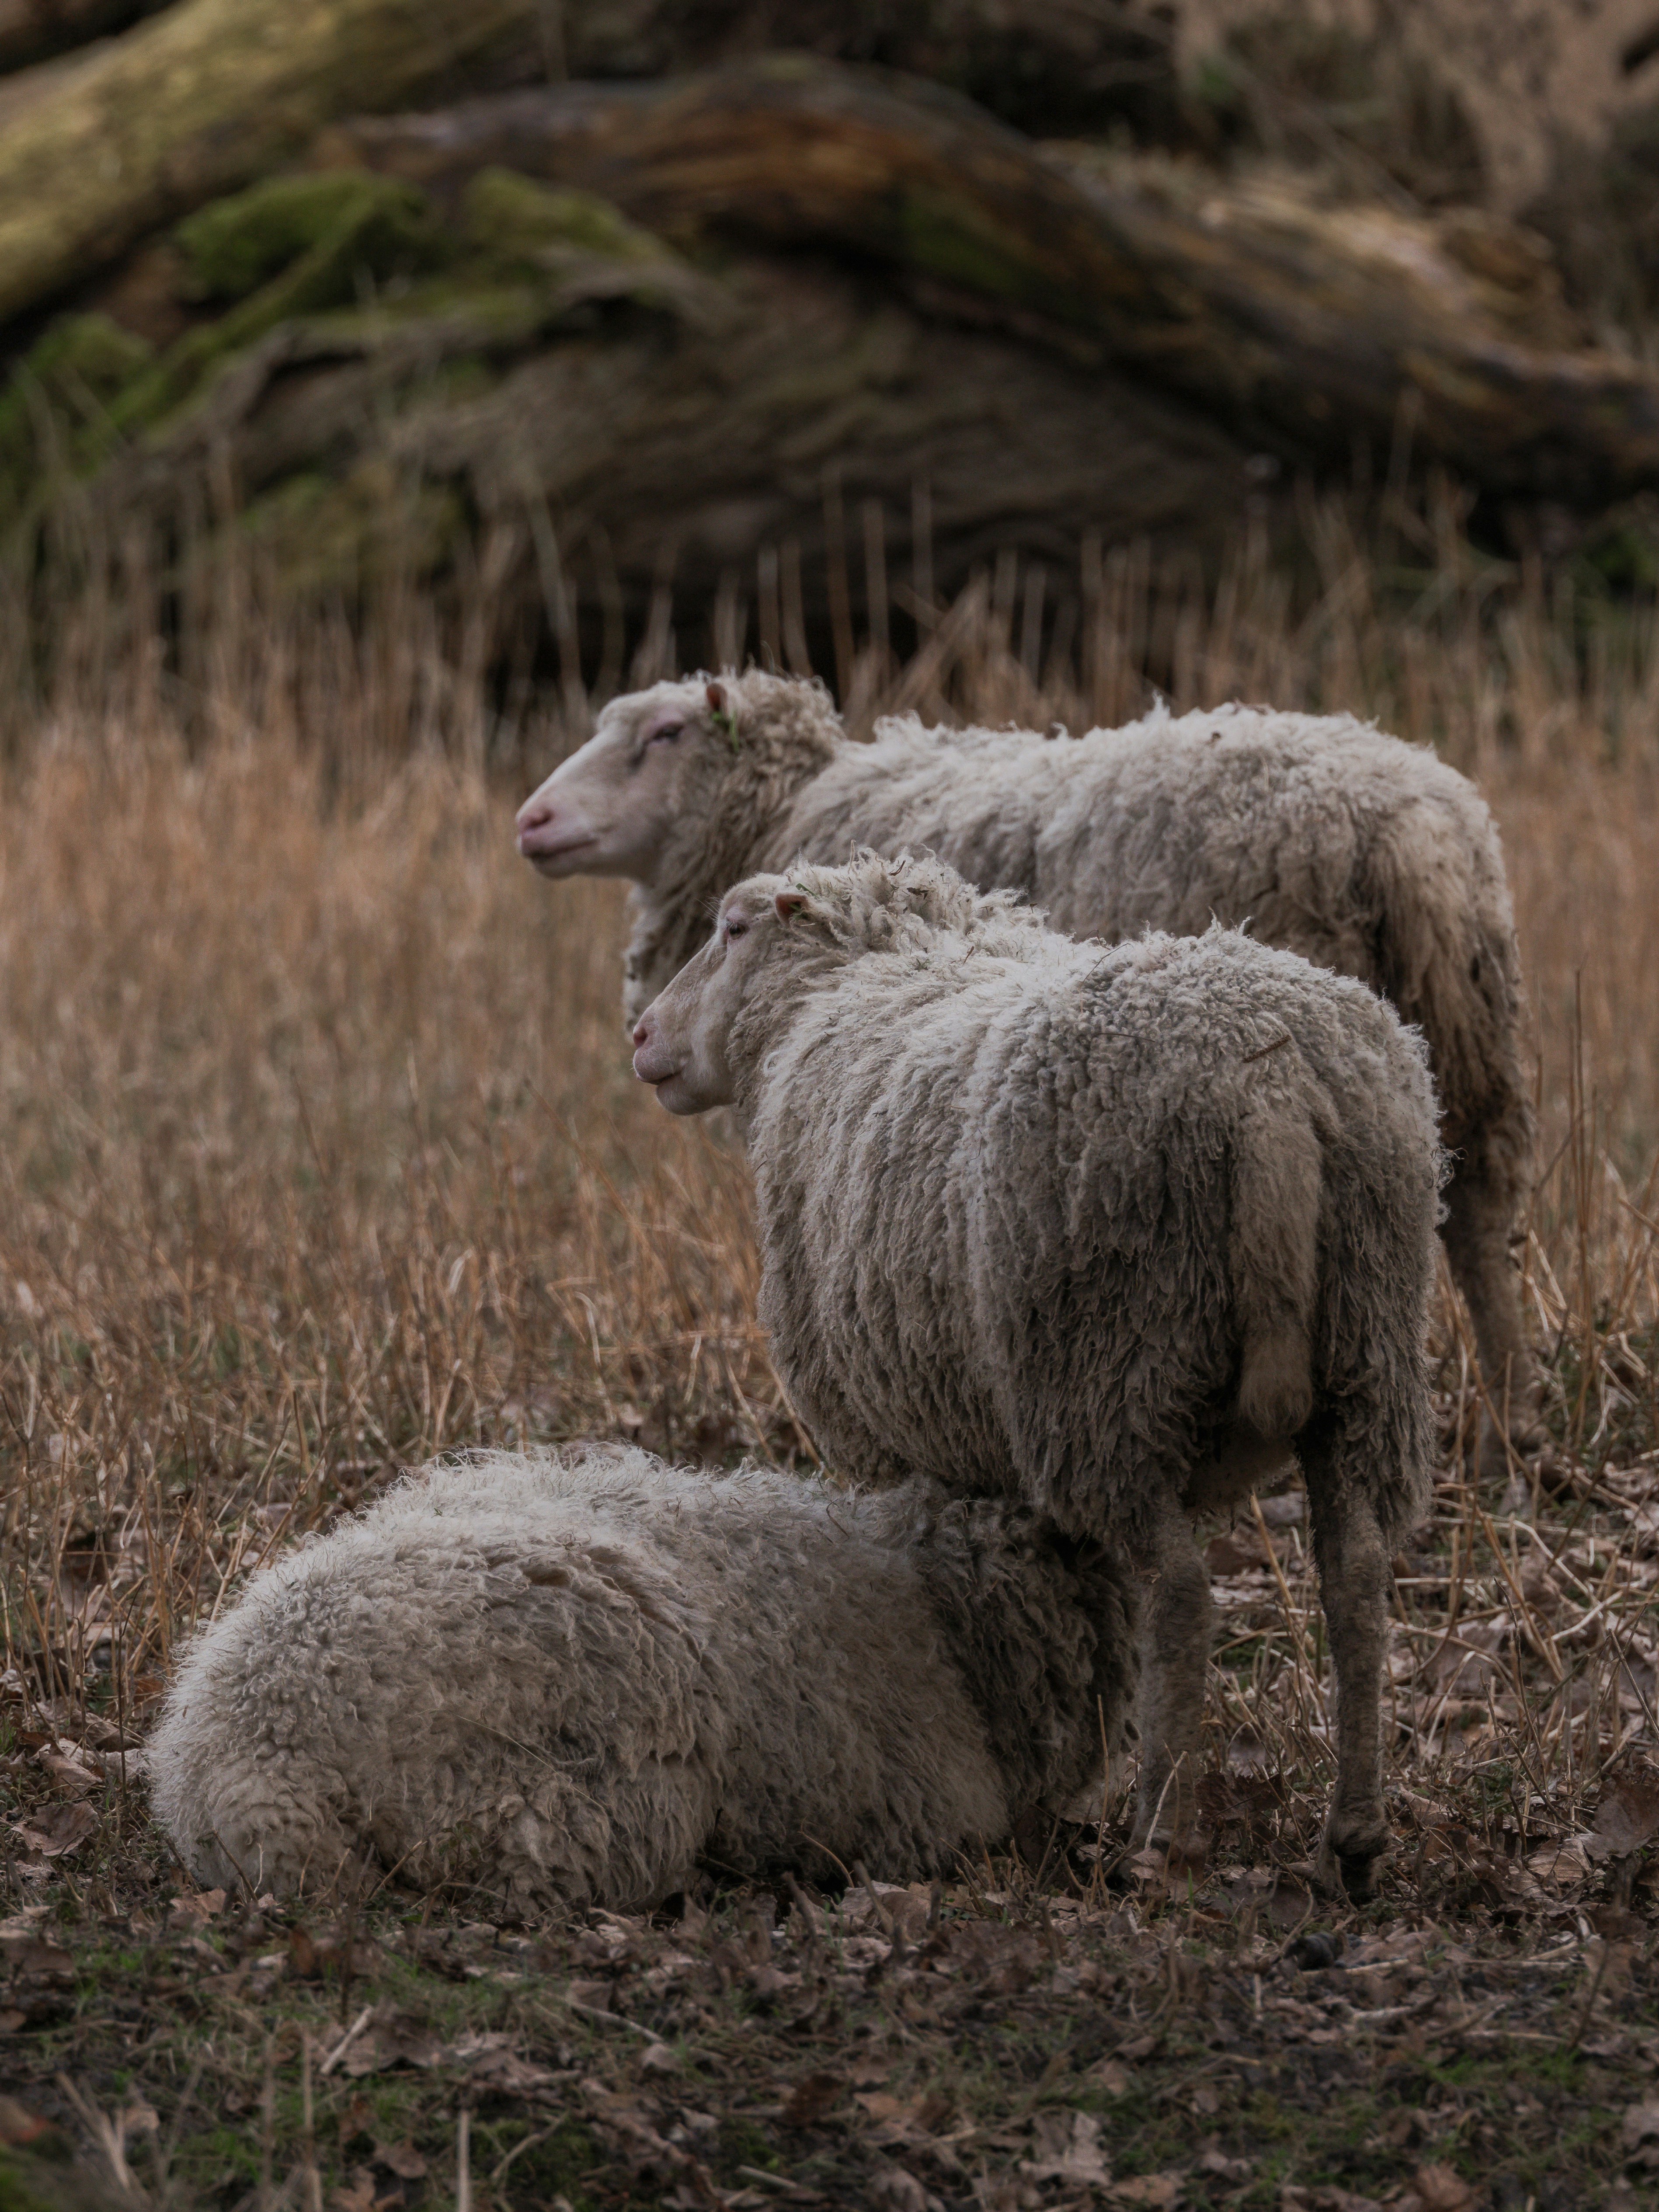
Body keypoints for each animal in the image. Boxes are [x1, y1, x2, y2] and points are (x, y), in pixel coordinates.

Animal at [517, 670, 1535, 1471]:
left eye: (664, 734)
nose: (531, 820)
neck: (788, 804)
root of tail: (1412, 827)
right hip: (1461, 1033)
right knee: (1482, 1220)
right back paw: (1503, 1432)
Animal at [630, 852, 1445, 1899]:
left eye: (731, 929)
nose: (642, 1036)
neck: (859, 979)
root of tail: (1261, 1074)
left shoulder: (890, 1440)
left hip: (1107, 1365)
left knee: (1180, 1590)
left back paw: (1157, 1837)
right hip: (1363, 1350)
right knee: (1356, 1573)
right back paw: (1351, 1838)